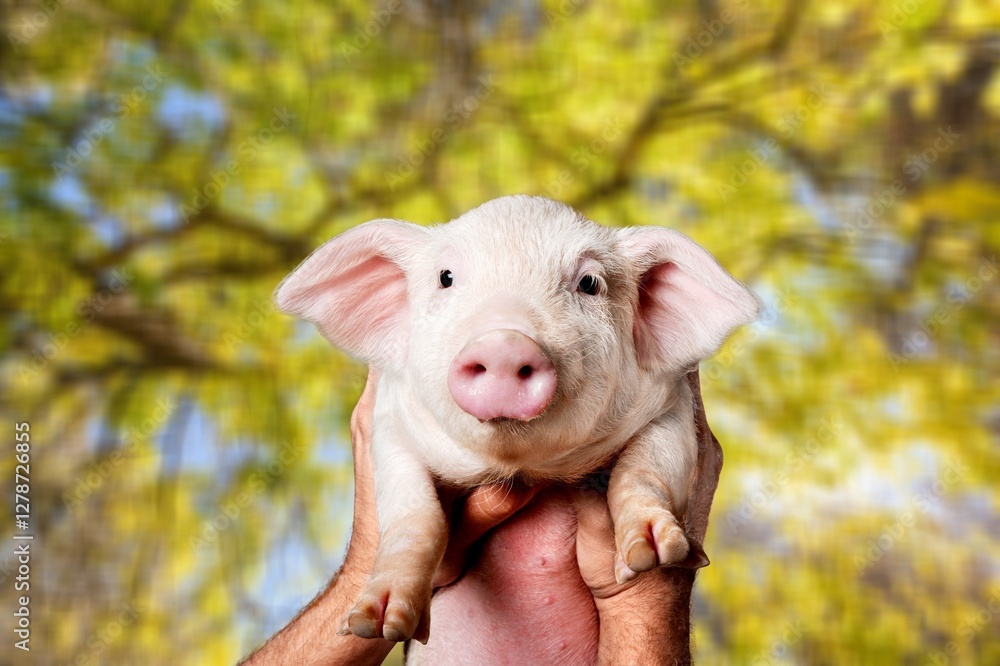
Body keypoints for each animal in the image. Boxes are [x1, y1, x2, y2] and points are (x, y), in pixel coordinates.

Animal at [274, 195, 759, 644]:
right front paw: (374, 624)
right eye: (446, 277)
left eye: (589, 283)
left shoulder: (673, 406)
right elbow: (415, 514)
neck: (519, 466)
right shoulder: (389, 424)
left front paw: (654, 552)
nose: (504, 342)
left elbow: (645, 469)